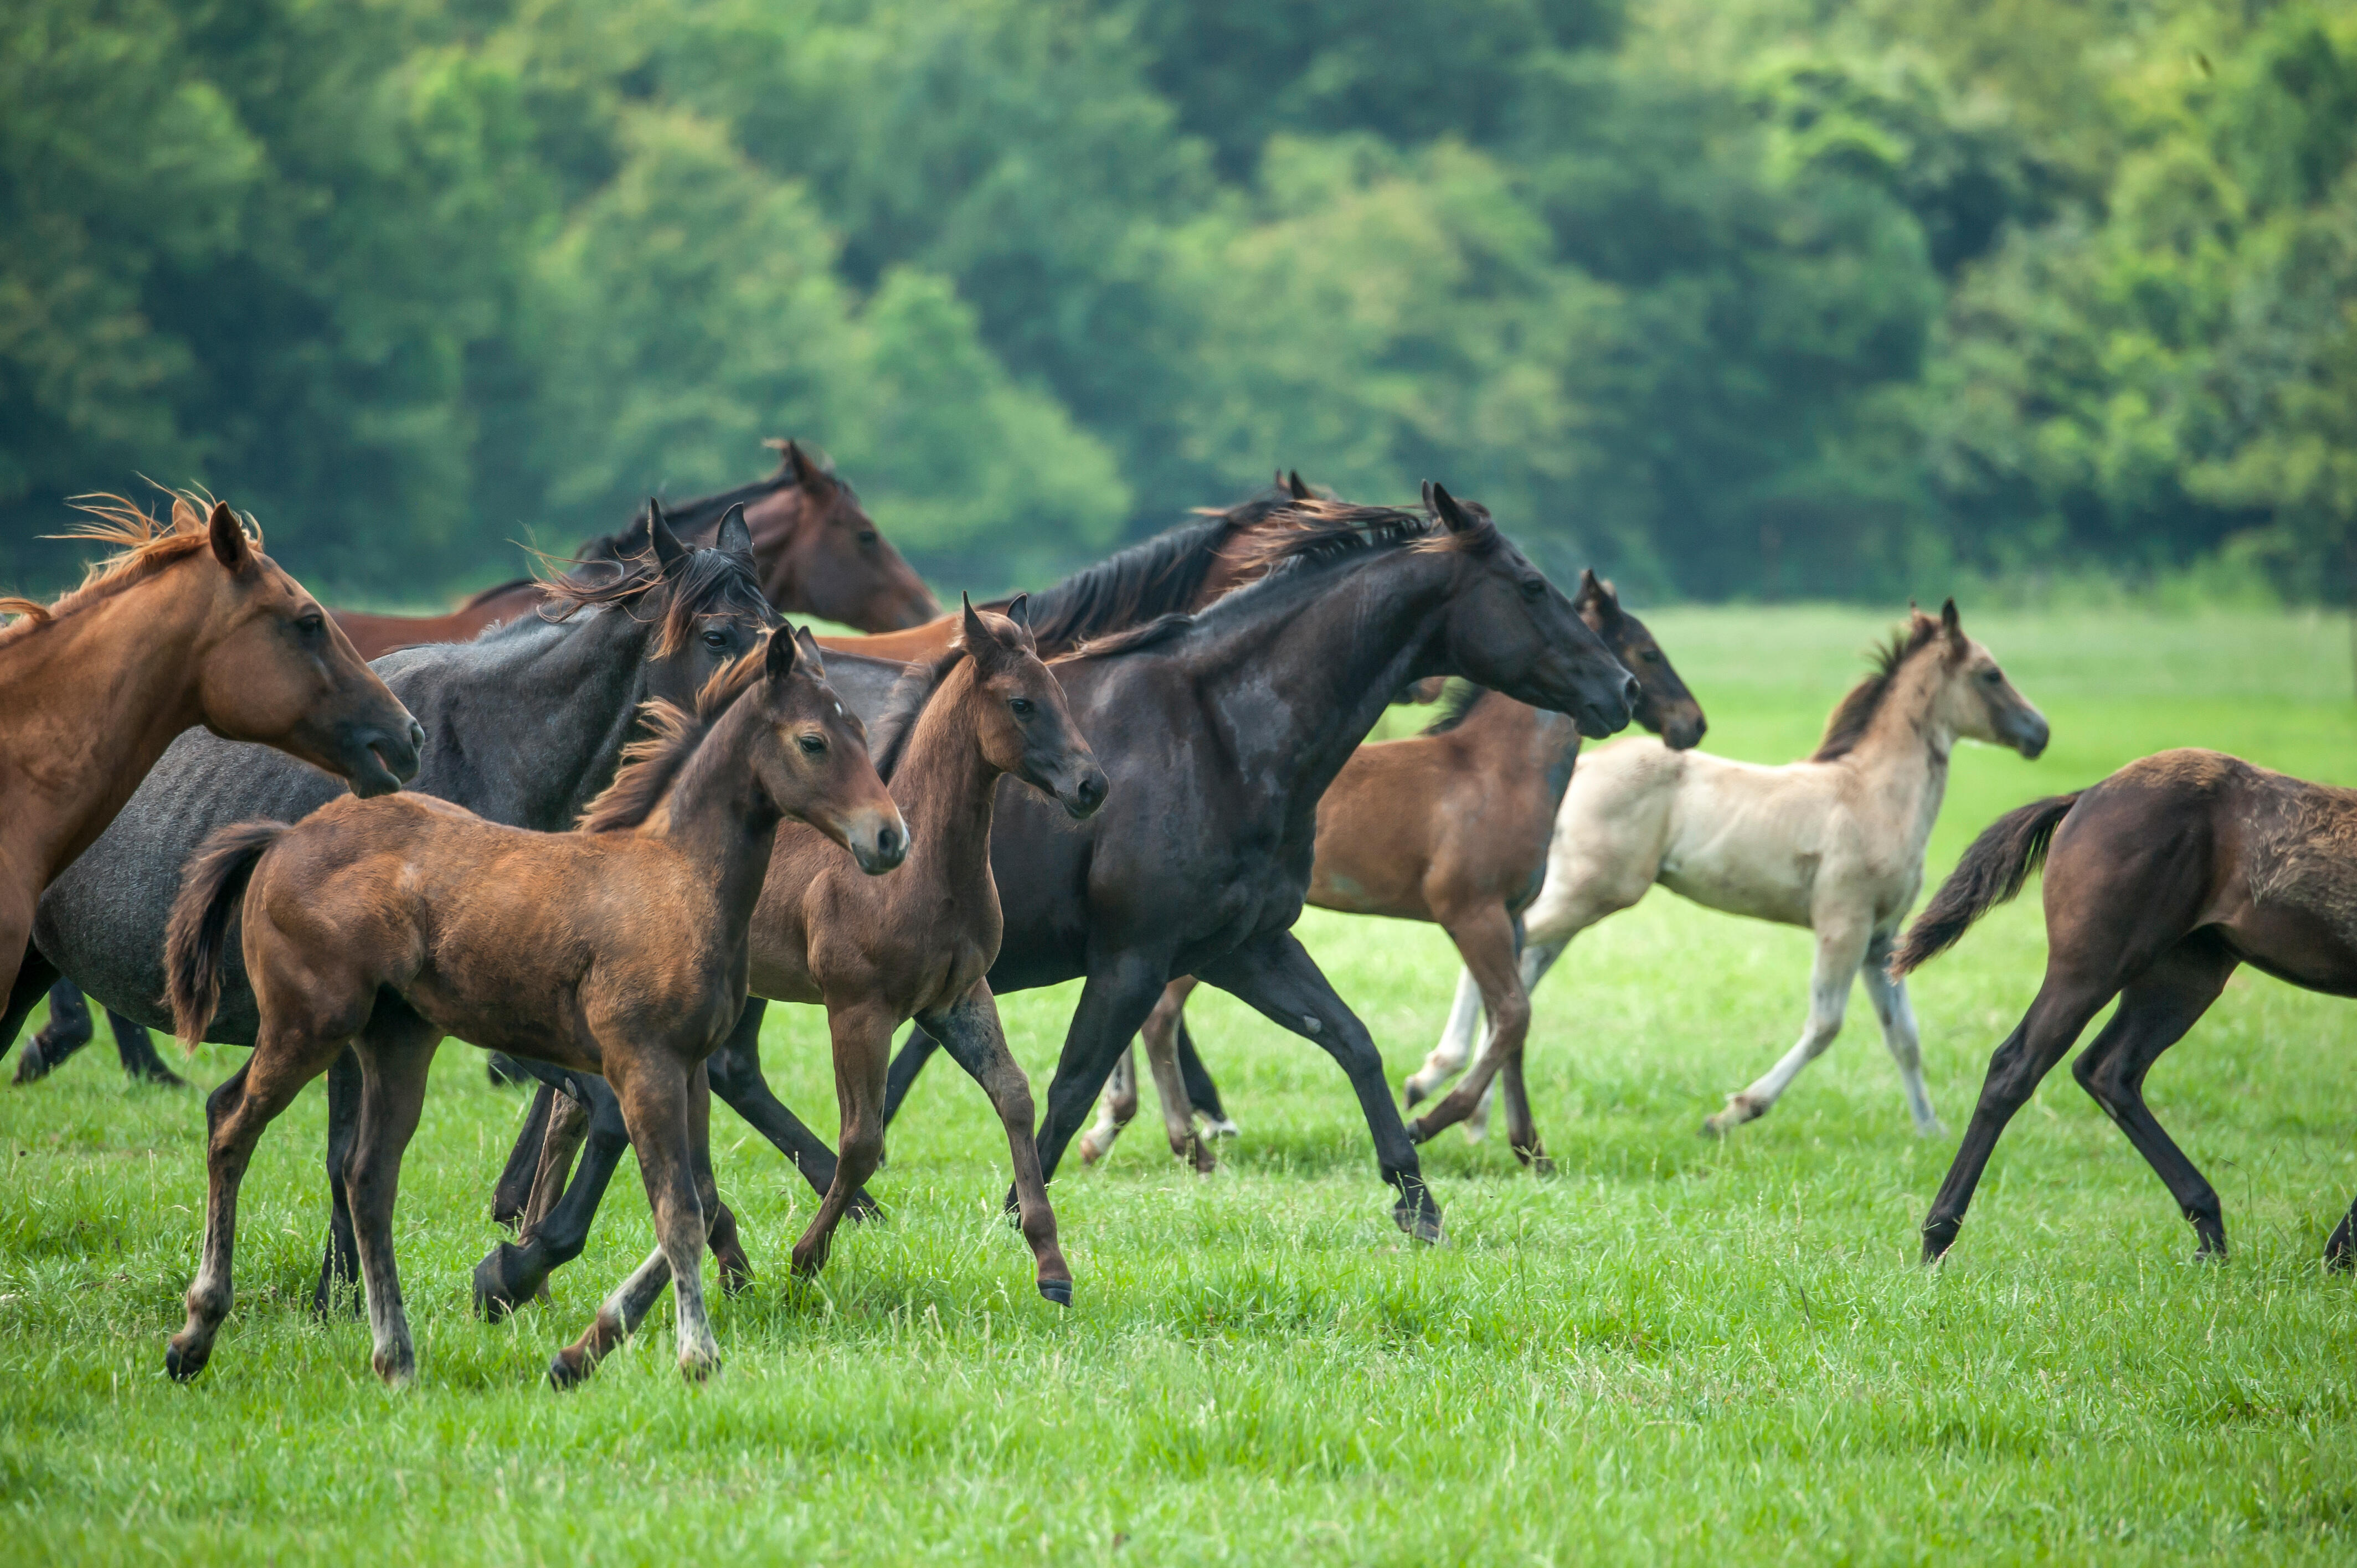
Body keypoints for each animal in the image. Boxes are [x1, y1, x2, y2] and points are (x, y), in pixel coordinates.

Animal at [161, 628, 904, 1388]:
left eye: (860, 729)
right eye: (813, 741)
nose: (888, 838)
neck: (679, 877)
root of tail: (282, 839)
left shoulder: (688, 1067)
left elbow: (700, 1199)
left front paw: (579, 1349)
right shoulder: (644, 1065)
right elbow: (680, 1211)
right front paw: (695, 1356)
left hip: (396, 1040)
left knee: (368, 1177)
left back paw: (396, 1360)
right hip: (309, 1024)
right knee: (231, 1126)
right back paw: (197, 1334)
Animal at [468, 598, 1105, 1317]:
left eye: (1061, 695)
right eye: (1022, 704)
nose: (1091, 786)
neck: (929, 870)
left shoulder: (958, 998)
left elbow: (1014, 1097)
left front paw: (1051, 1266)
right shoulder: (857, 1009)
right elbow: (861, 1142)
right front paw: (804, 1261)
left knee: (573, 1115)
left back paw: (542, 1273)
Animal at [1077, 570, 1709, 1173]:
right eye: (1646, 652)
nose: (1692, 724)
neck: (1498, 771)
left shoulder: (1514, 918)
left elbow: (1513, 1031)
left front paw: (1531, 1149)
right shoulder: (1471, 914)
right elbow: (1511, 1016)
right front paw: (1427, 1119)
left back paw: (1118, 1130)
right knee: (1160, 1016)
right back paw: (1176, 1140)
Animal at [1409, 600, 2048, 1143]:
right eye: (1991, 675)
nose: (2039, 732)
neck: (1872, 795)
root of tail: (1582, 767)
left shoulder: (1880, 938)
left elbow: (1904, 1038)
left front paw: (1930, 1130)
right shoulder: (1842, 923)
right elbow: (1825, 1025)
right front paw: (1733, 1113)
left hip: (1578, 901)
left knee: (1519, 972)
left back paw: (1473, 1110)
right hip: (1588, 894)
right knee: (1497, 965)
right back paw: (1435, 1080)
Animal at [1893, 749, 2357, 1267]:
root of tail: (2084, 797)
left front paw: (2340, 1253)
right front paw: (2341, 1254)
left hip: (2183, 974)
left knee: (2108, 1069)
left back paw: (2211, 1233)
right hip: (2096, 965)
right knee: (2016, 1067)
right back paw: (1937, 1237)